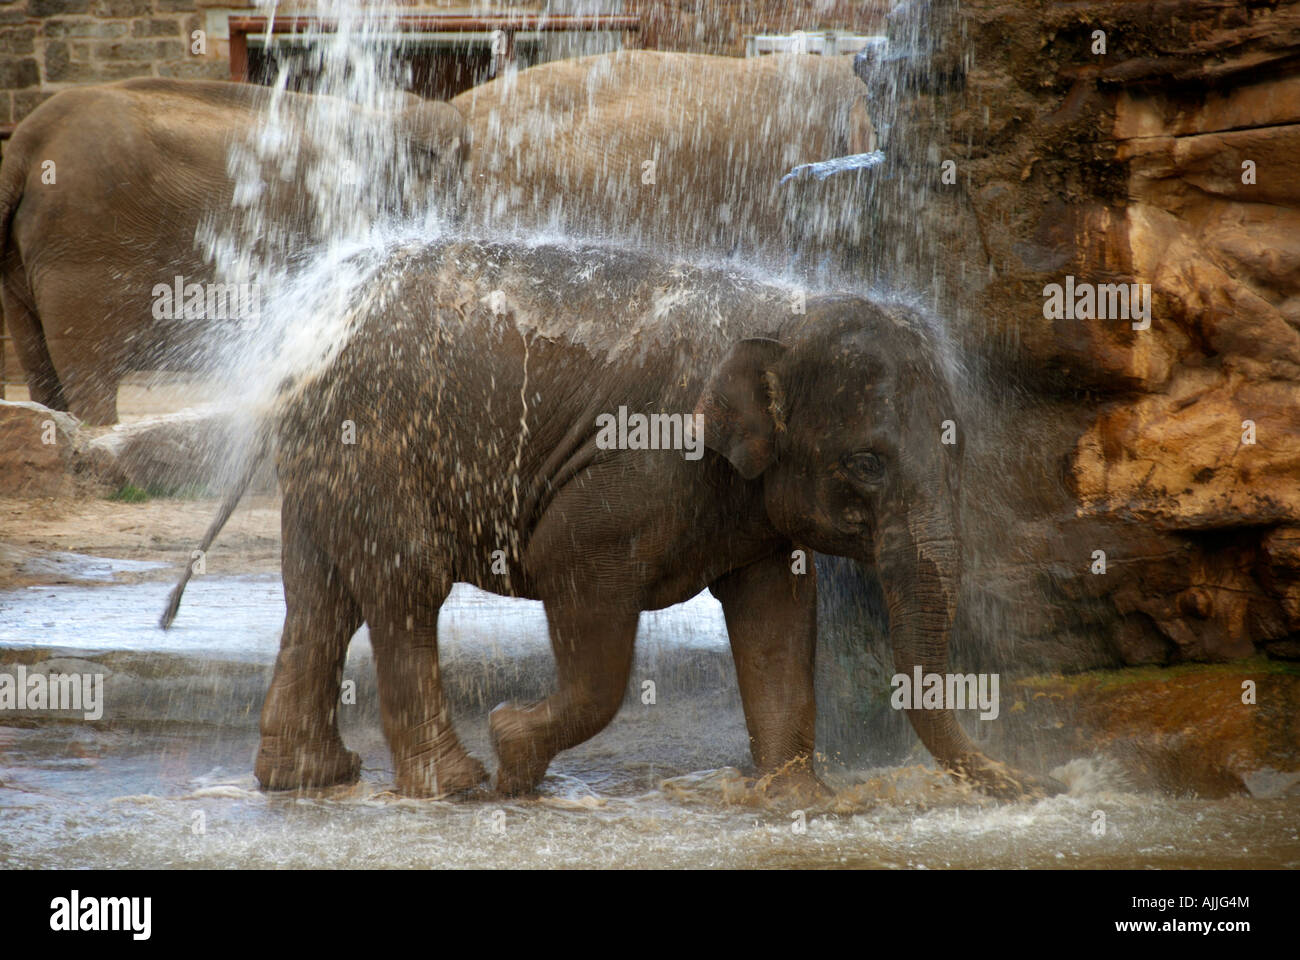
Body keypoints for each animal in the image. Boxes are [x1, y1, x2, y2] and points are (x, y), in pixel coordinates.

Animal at [162, 237, 1057, 801]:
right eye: (868, 463)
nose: (1038, 785)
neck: (786, 314)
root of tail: (297, 339)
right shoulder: (636, 463)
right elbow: (576, 572)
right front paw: (514, 752)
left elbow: (775, 616)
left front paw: (801, 801)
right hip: (376, 443)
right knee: (402, 584)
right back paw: (454, 787)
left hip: (327, 457)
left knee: (321, 594)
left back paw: (309, 780)